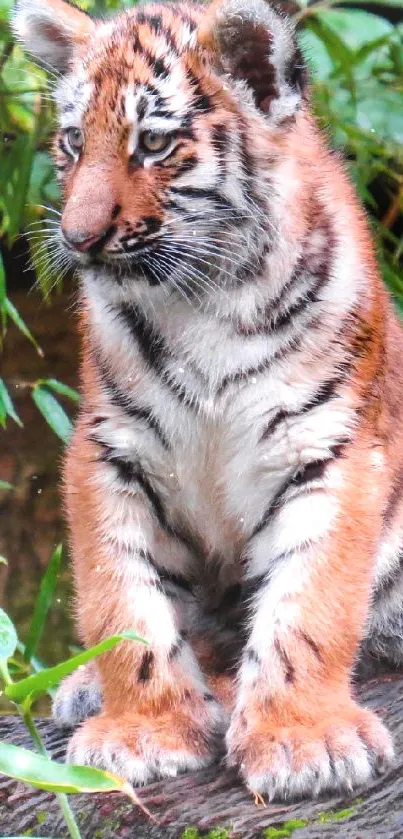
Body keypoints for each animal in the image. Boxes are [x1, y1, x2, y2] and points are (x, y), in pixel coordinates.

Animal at [13, 0, 403, 802]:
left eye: (154, 143)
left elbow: (308, 602)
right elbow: (121, 601)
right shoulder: (108, 450)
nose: (77, 238)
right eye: (72, 141)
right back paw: (88, 688)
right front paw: (144, 729)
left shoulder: (333, 448)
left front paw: (303, 739)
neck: (203, 300)